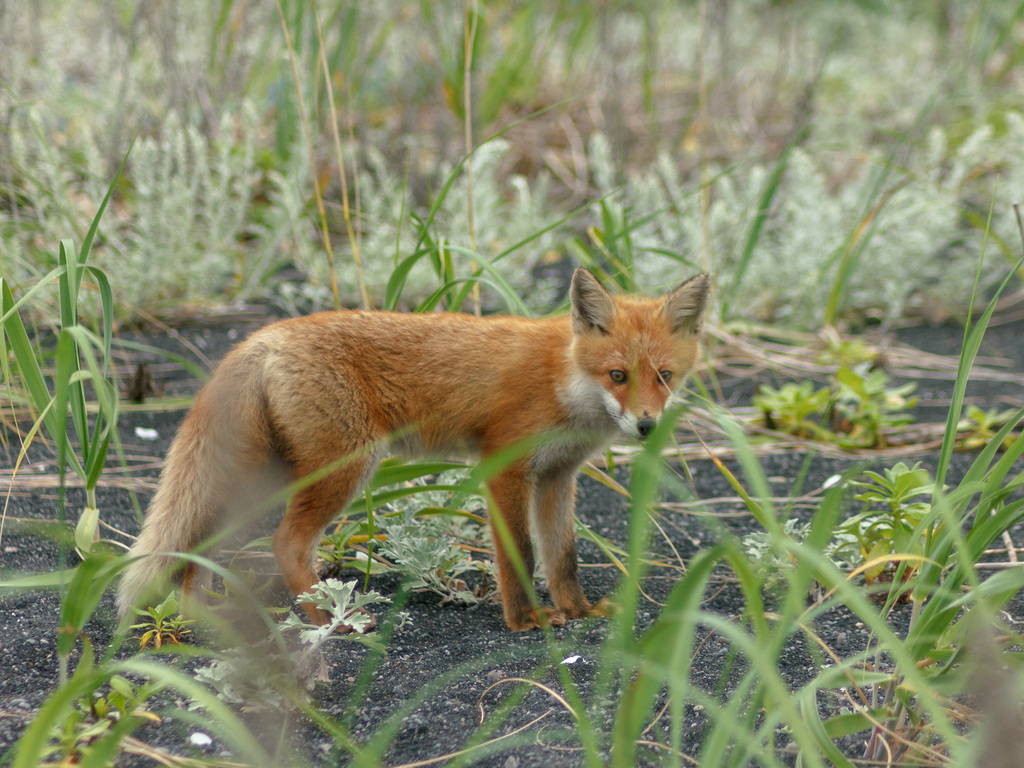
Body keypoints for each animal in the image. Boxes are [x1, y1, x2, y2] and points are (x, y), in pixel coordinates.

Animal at [116, 268, 709, 631]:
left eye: (663, 376)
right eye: (617, 375)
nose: (646, 425)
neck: (564, 380)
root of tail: (265, 335)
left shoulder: (557, 476)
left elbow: (562, 556)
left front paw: (578, 610)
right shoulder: (505, 468)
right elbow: (518, 555)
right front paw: (526, 621)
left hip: (266, 476)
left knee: (199, 545)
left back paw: (201, 616)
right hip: (345, 466)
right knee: (285, 543)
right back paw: (328, 620)